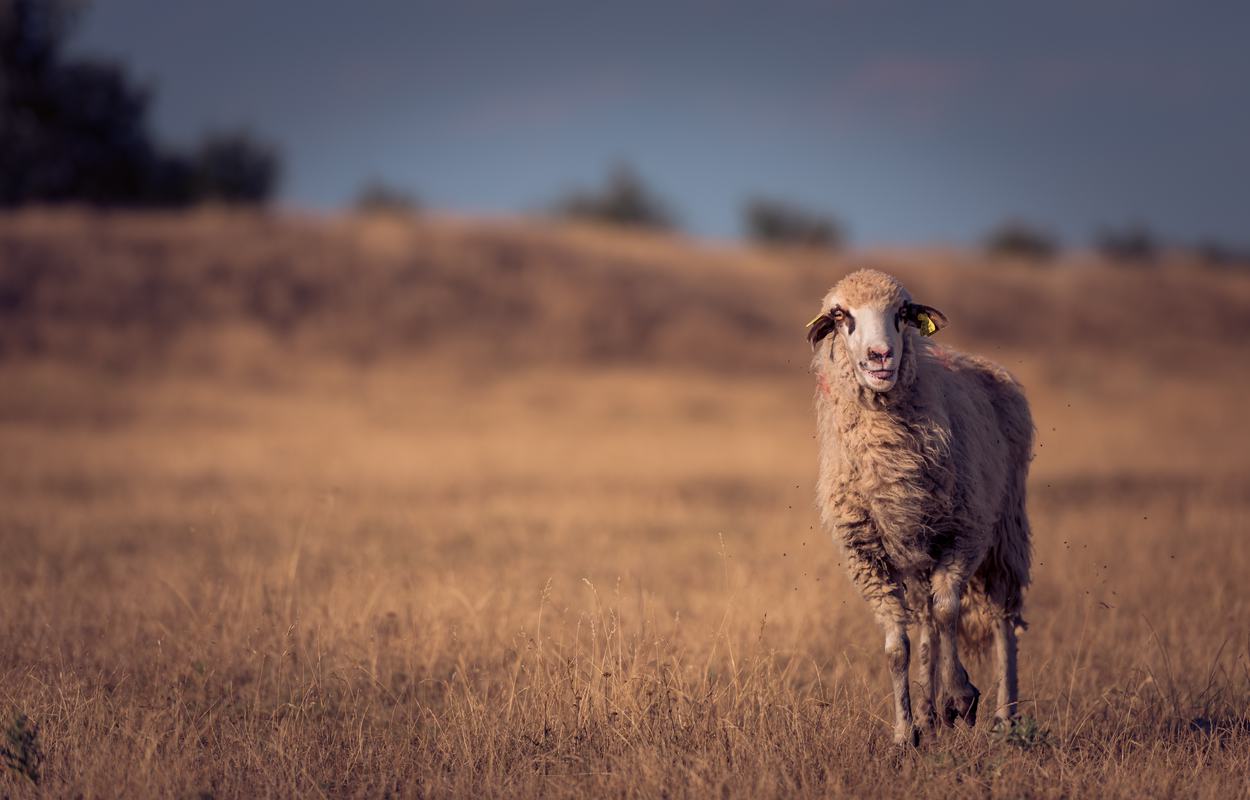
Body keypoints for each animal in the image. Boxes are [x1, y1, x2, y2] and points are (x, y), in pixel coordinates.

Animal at [807, 269, 1033, 746]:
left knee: (1001, 619)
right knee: (926, 622)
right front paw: (904, 732)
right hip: (916, 553)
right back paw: (929, 716)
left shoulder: (964, 533)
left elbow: (949, 614)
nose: (880, 355)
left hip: (1005, 528)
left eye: (902, 313)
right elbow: (898, 647)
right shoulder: (870, 558)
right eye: (840, 315)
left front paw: (960, 697)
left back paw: (1004, 717)